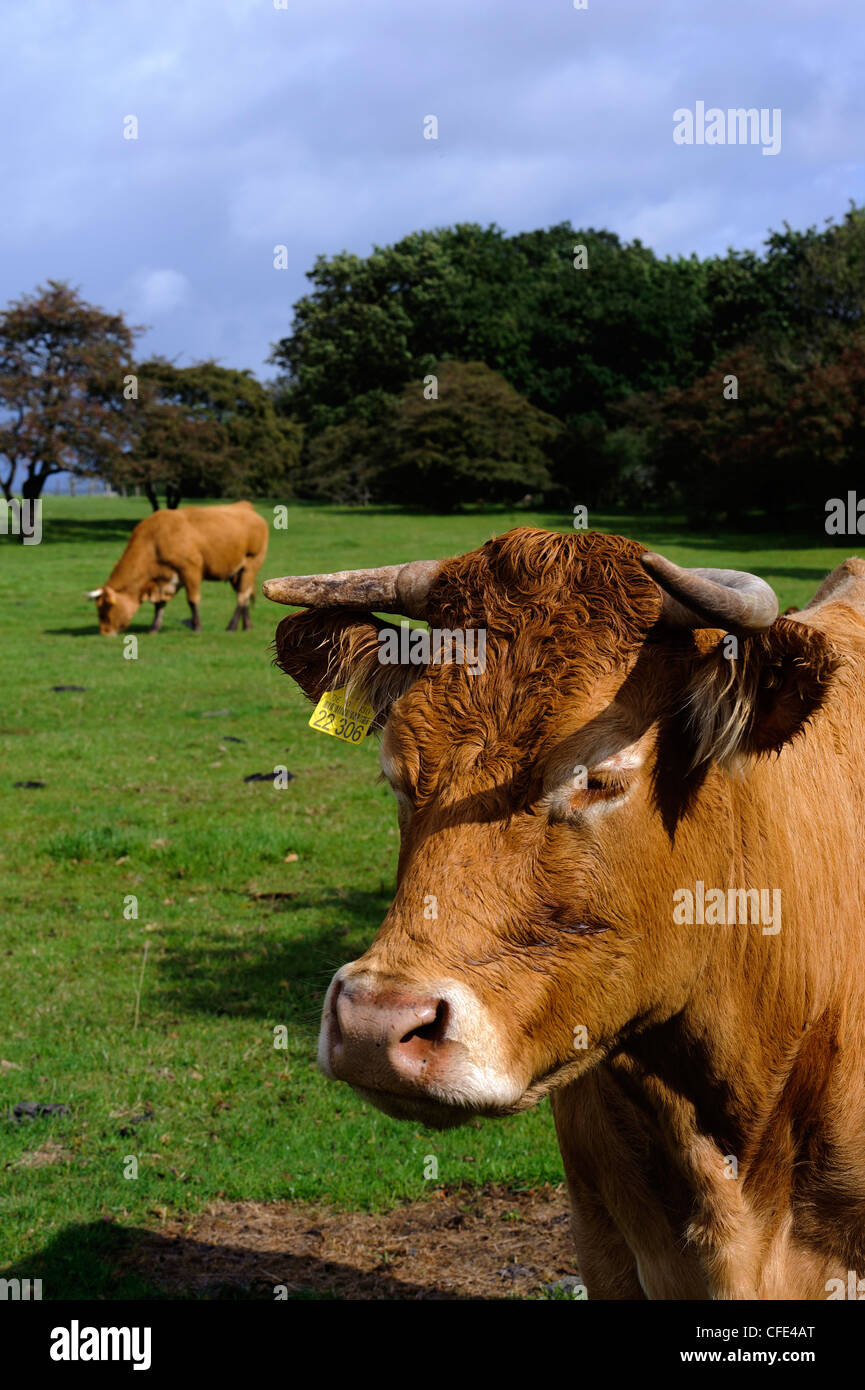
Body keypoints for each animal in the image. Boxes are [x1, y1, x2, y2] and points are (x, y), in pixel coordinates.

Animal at [86, 501, 269, 635]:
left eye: (106, 606)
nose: (105, 632)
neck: (154, 539)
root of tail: (245, 506)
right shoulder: (163, 579)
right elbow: (159, 605)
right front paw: (154, 628)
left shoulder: (191, 569)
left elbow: (192, 600)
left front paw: (196, 626)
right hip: (236, 572)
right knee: (245, 595)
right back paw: (247, 625)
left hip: (251, 564)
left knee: (241, 595)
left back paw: (231, 626)